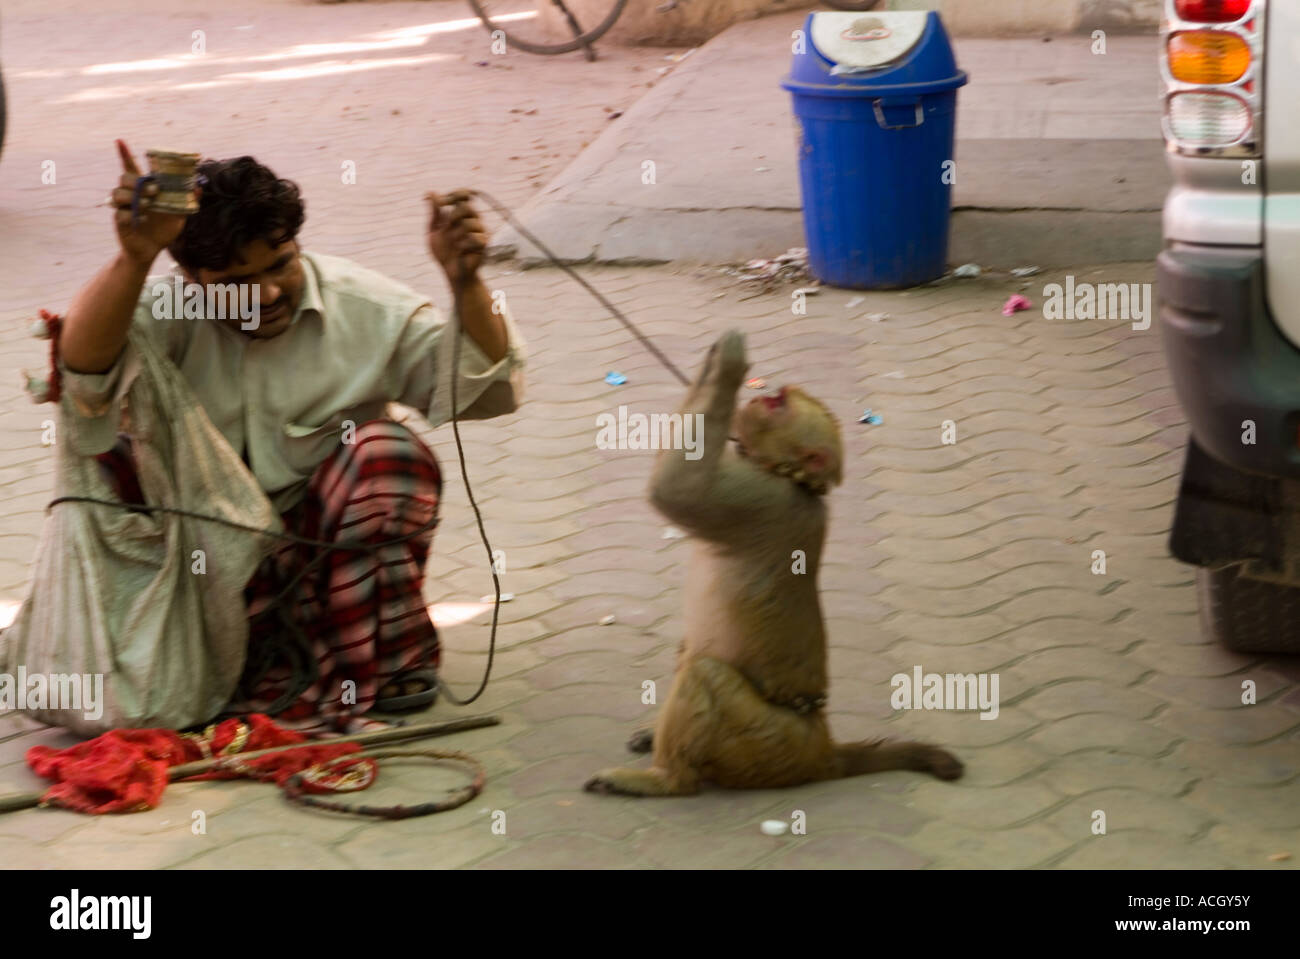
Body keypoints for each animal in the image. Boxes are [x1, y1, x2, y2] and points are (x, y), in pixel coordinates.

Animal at [585, 329, 963, 796]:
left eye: (779, 403)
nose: (761, 394)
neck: (789, 478)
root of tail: (821, 750)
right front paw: (716, 362)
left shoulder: (762, 500)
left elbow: (677, 489)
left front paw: (728, 364)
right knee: (692, 654)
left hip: (763, 743)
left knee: (704, 673)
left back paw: (667, 780)